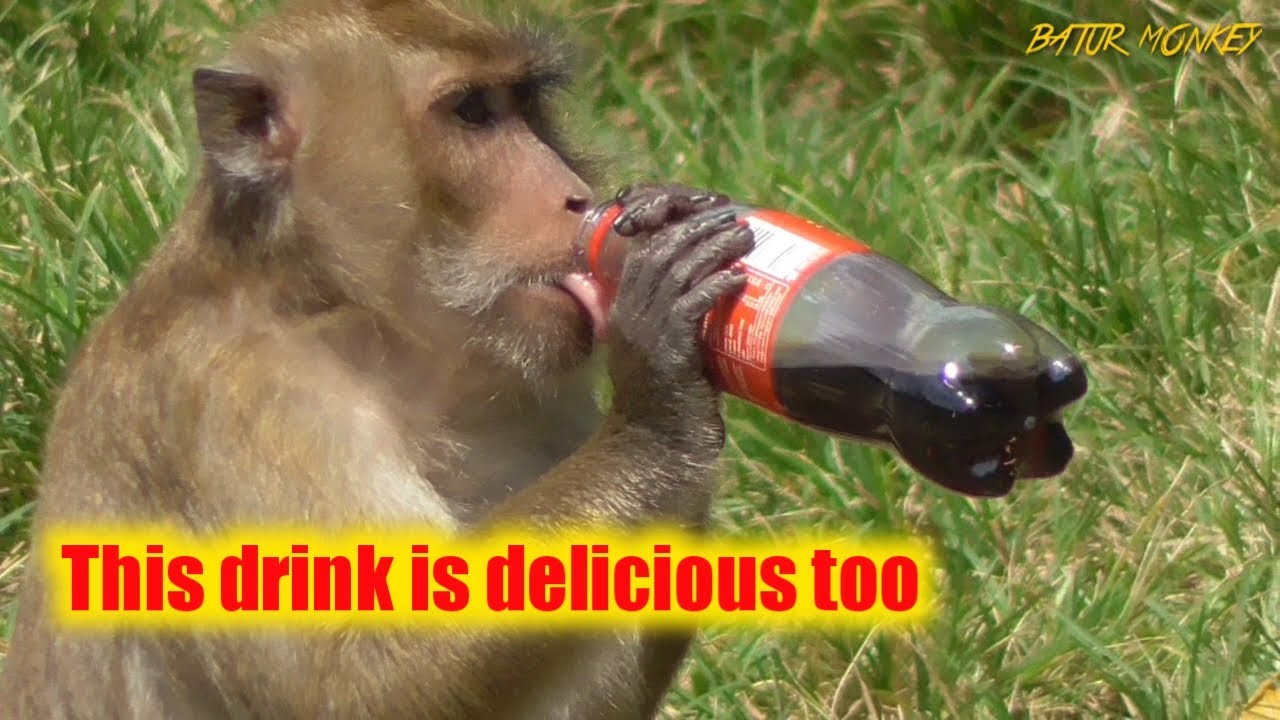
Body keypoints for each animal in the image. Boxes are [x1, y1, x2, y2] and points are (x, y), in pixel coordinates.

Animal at [0, 0, 757, 718]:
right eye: (473, 112)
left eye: (526, 105)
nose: (574, 194)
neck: (345, 311)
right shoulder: (252, 402)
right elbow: (359, 682)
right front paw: (658, 400)